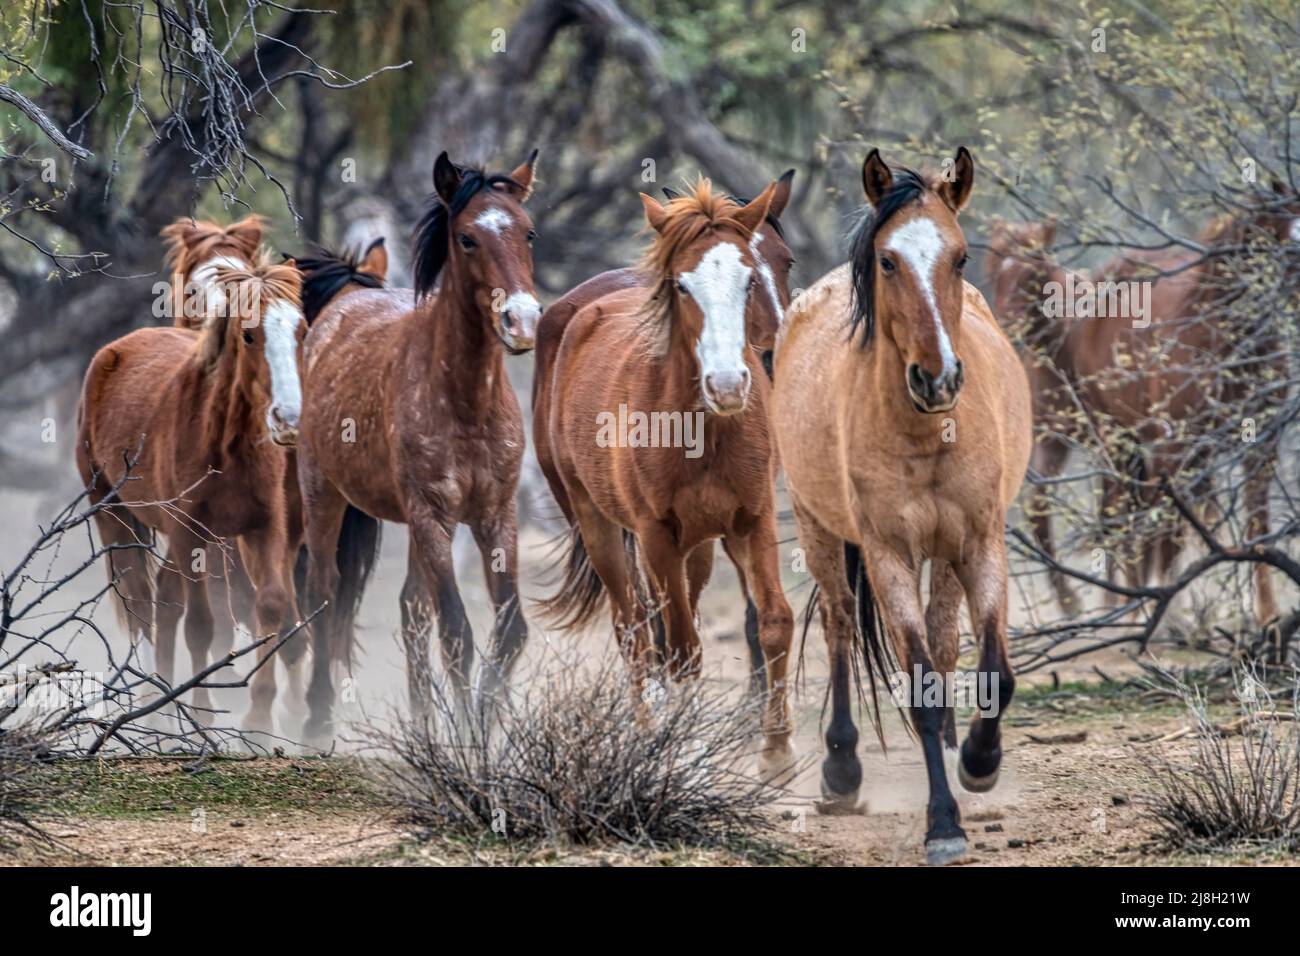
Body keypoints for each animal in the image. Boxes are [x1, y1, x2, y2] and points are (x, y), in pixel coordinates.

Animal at [77, 252, 307, 731]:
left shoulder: (265, 528)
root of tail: (115, 350)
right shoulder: (189, 531)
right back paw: (153, 705)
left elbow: (270, 606)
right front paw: (202, 715)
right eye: (249, 334)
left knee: (164, 600)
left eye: (301, 330)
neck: (224, 443)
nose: (289, 419)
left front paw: (260, 720)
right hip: (112, 512)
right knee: (141, 603)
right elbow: (201, 624)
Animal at [295, 150, 541, 743]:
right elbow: (456, 631)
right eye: (468, 238)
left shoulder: (494, 515)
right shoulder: (432, 514)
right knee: (323, 589)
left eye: (528, 232)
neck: (466, 402)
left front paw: (483, 723)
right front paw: (469, 740)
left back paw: (422, 722)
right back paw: (317, 715)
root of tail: (345, 299)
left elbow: (510, 629)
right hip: (323, 494)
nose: (522, 322)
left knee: (411, 609)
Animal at [534, 178, 796, 780]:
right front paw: (684, 754)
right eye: (682, 284)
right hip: (599, 525)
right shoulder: (655, 536)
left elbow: (772, 620)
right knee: (635, 630)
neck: (703, 430)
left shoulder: (752, 521)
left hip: (695, 546)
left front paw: (778, 753)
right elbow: (676, 649)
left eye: (753, 276)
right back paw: (649, 730)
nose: (729, 384)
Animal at [772, 149, 1032, 864]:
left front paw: (978, 760)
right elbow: (915, 683)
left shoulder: (979, 542)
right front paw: (943, 824)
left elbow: (993, 671)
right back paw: (841, 769)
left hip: (944, 554)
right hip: (820, 529)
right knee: (837, 624)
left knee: (944, 637)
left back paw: (950, 743)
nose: (937, 378)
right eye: (887, 261)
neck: (927, 433)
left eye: (962, 257)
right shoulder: (887, 554)